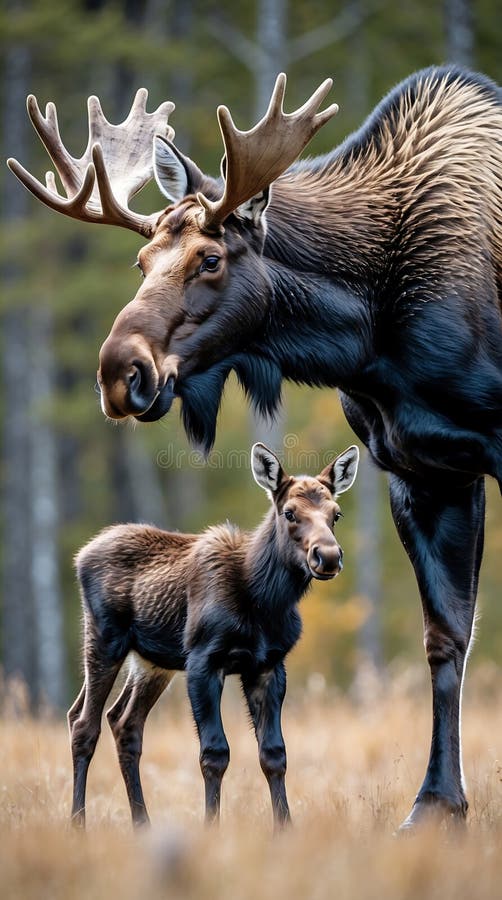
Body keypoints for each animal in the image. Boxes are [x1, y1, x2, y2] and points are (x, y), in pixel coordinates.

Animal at [68, 442, 359, 828]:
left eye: (335, 514)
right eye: (289, 513)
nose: (327, 556)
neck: (262, 601)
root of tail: (81, 554)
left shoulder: (268, 665)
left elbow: (274, 754)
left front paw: (284, 828)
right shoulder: (203, 661)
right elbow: (214, 753)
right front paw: (211, 827)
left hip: (152, 663)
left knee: (123, 721)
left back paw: (142, 823)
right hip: (103, 639)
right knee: (84, 724)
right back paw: (78, 823)